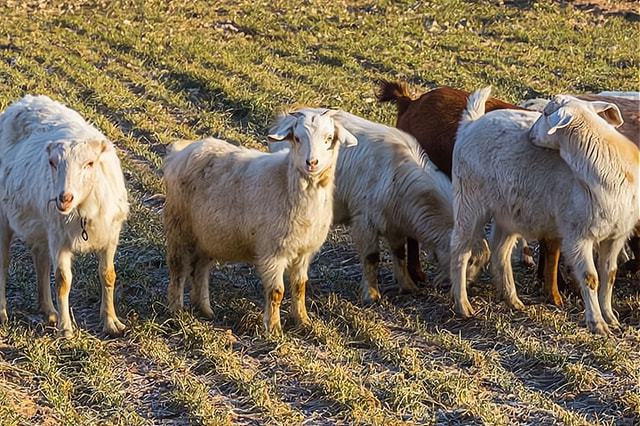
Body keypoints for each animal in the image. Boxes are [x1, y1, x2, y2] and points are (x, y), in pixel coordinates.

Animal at [0, 95, 129, 338]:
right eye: (52, 162)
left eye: (90, 163)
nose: (64, 198)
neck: (83, 208)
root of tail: (24, 101)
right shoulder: (59, 237)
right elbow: (62, 280)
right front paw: (66, 328)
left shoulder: (110, 234)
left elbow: (108, 274)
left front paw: (112, 322)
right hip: (5, 217)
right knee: (3, 262)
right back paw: (3, 313)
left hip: (41, 225)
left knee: (40, 258)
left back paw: (49, 311)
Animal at [162, 108, 358, 334]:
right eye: (297, 138)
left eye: (329, 138)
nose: (312, 163)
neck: (286, 182)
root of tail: (180, 152)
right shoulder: (272, 251)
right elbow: (276, 291)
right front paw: (273, 328)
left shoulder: (303, 251)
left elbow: (300, 287)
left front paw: (303, 321)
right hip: (179, 225)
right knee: (178, 268)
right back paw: (176, 310)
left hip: (209, 234)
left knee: (200, 268)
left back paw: (204, 309)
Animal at [270, 108, 490, 304]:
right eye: (469, 260)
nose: (467, 286)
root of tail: (283, 120)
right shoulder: (365, 220)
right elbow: (371, 258)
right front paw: (371, 295)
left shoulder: (394, 223)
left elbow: (399, 253)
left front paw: (407, 285)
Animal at [450, 85, 640, 332]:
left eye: (547, 112)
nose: (530, 133)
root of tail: (471, 123)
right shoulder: (577, 235)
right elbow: (591, 278)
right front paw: (597, 324)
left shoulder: (616, 235)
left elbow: (610, 275)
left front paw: (611, 318)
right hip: (469, 200)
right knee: (460, 249)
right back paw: (463, 304)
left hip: (508, 212)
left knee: (500, 251)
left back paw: (513, 300)